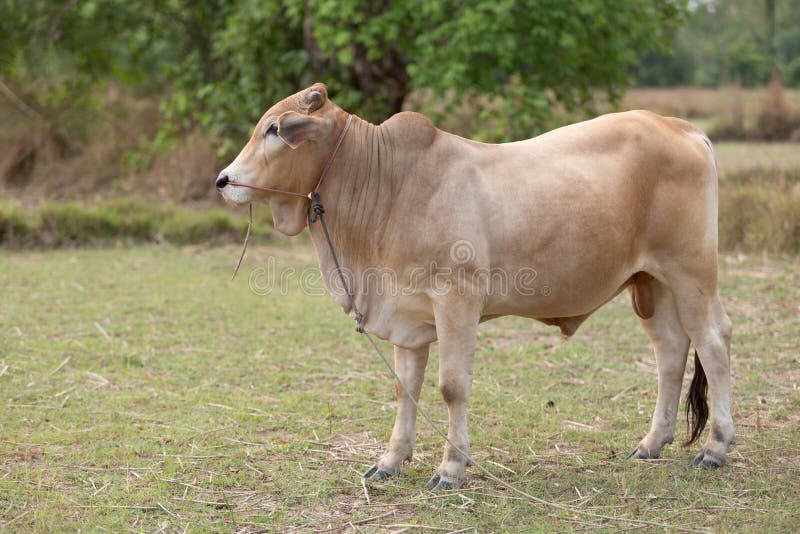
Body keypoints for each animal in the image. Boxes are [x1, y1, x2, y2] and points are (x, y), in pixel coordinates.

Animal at [216, 83, 733, 491]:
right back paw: (651, 443)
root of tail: (682, 127)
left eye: (273, 130)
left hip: (691, 272)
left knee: (713, 343)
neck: (387, 184)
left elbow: (451, 387)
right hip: (651, 283)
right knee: (670, 352)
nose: (223, 180)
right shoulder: (407, 315)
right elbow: (406, 389)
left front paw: (450, 469)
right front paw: (390, 461)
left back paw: (715, 449)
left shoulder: (456, 302)